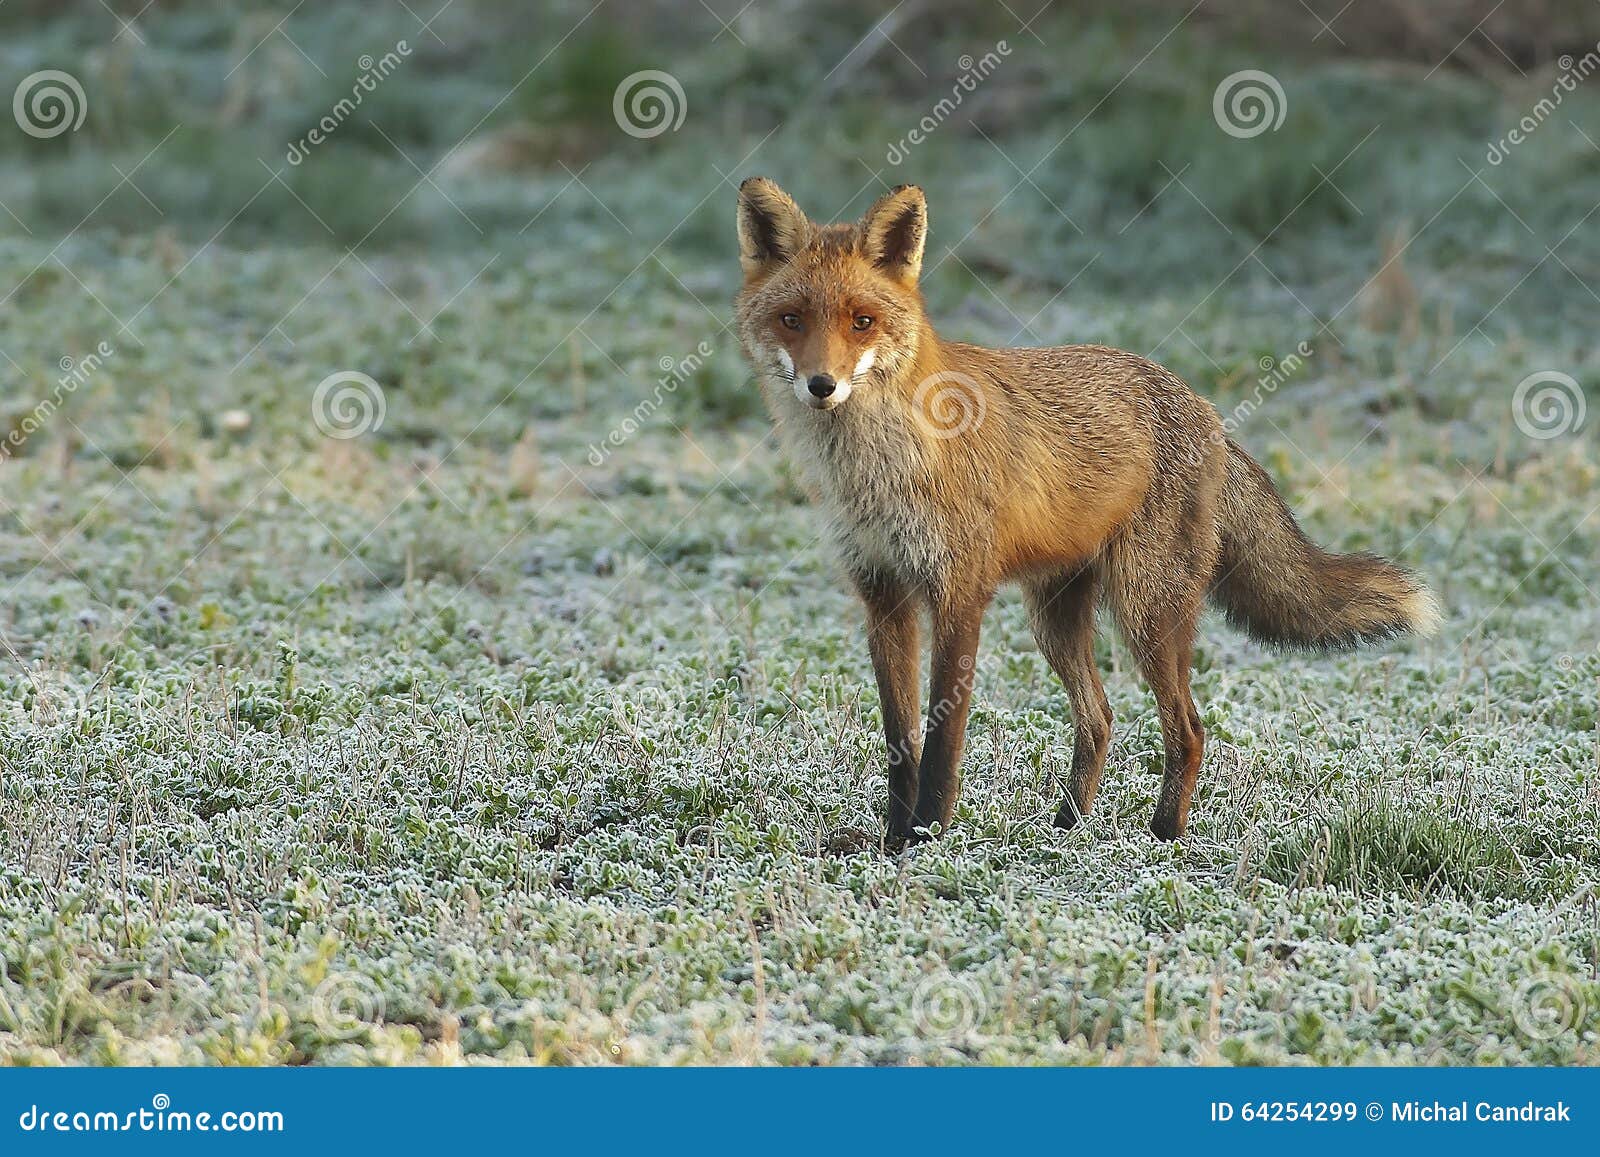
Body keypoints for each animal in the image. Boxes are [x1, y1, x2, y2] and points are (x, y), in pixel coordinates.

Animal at [732, 177, 1440, 844]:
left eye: (861, 322)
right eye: (793, 320)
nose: (822, 386)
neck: (876, 469)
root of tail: (1203, 406)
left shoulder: (959, 593)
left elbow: (941, 741)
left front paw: (927, 838)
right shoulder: (882, 593)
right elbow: (900, 742)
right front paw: (890, 842)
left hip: (1145, 615)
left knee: (1188, 730)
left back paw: (1163, 837)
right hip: (1055, 619)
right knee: (1100, 719)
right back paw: (1068, 830)